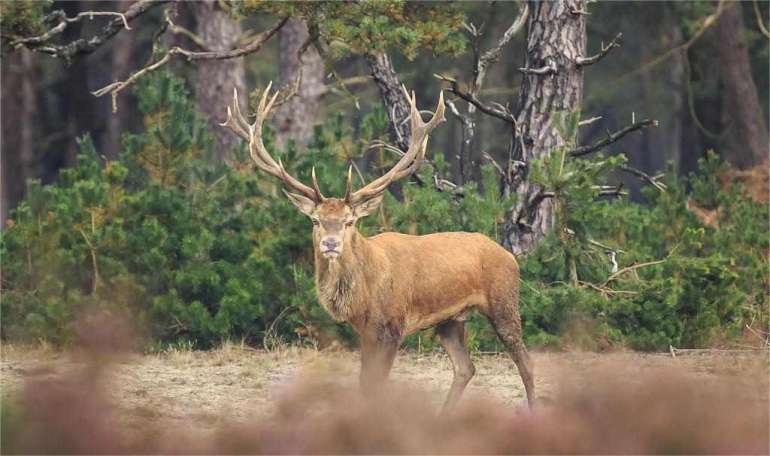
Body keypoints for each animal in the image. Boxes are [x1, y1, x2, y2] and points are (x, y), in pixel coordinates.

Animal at [221, 83, 535, 410]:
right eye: (316, 220)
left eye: (349, 221)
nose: (330, 244)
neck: (364, 293)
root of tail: (510, 255)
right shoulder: (365, 330)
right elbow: (364, 382)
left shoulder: (393, 326)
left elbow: (376, 384)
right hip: (449, 321)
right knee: (465, 367)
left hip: (504, 301)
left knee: (525, 362)